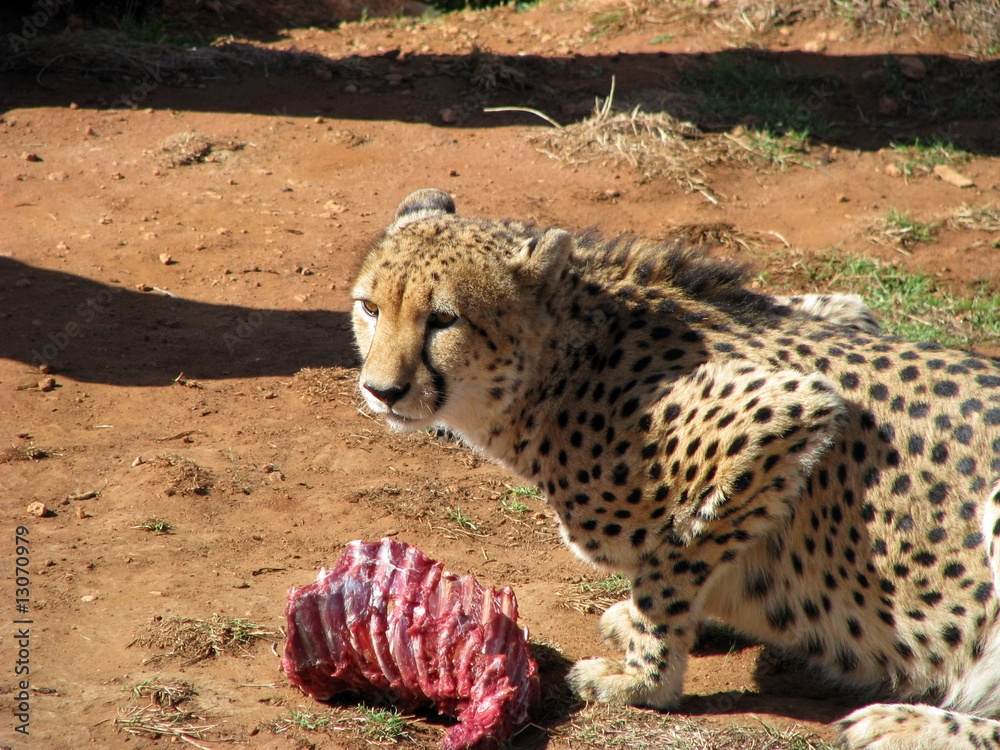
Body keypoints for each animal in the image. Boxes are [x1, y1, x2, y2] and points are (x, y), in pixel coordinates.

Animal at [350, 188, 1000, 750]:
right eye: (370, 307)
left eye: (443, 319)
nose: (382, 390)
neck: (562, 368)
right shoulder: (847, 313)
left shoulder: (790, 412)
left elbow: (673, 561)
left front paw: (643, 678)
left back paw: (908, 722)